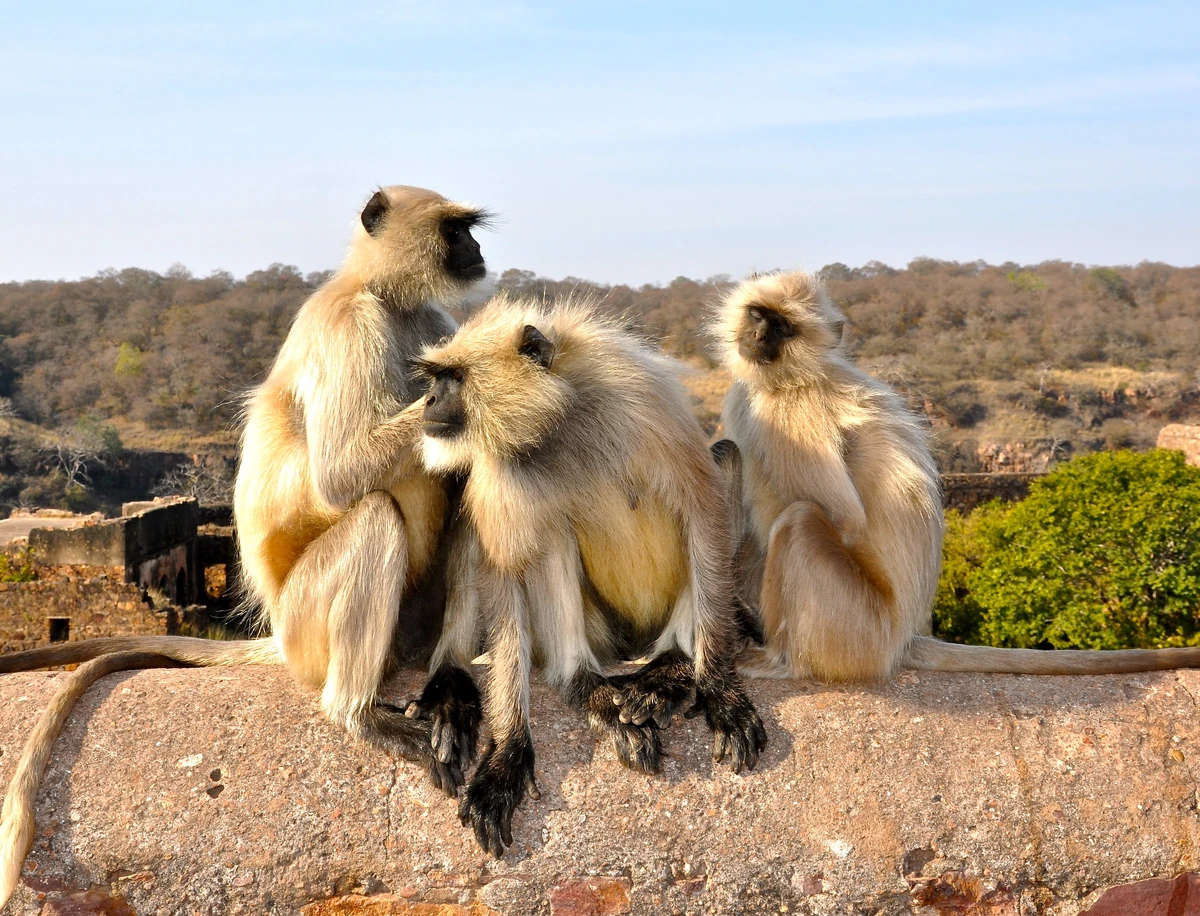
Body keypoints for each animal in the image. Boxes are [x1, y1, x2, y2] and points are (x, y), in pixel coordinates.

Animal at [0, 187, 491, 907]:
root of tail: (282, 637)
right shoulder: (349, 327)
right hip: (309, 620)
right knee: (374, 516)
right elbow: (341, 474)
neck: (380, 292)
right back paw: (354, 714)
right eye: (456, 231)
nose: (475, 251)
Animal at [415, 295, 768, 856]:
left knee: (724, 457)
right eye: (436, 378)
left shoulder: (637, 396)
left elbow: (702, 507)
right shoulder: (502, 469)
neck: (557, 424)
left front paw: (718, 689)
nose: (426, 400)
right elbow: (505, 573)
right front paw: (508, 750)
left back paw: (671, 667)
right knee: (547, 534)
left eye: (451, 378)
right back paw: (584, 684)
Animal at [712, 269, 1200, 682]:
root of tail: (901, 642)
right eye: (758, 315)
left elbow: (845, 520)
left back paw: (783, 661)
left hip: (854, 632)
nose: (757, 335)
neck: (798, 375)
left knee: (798, 521)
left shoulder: (788, 409)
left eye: (783, 327)